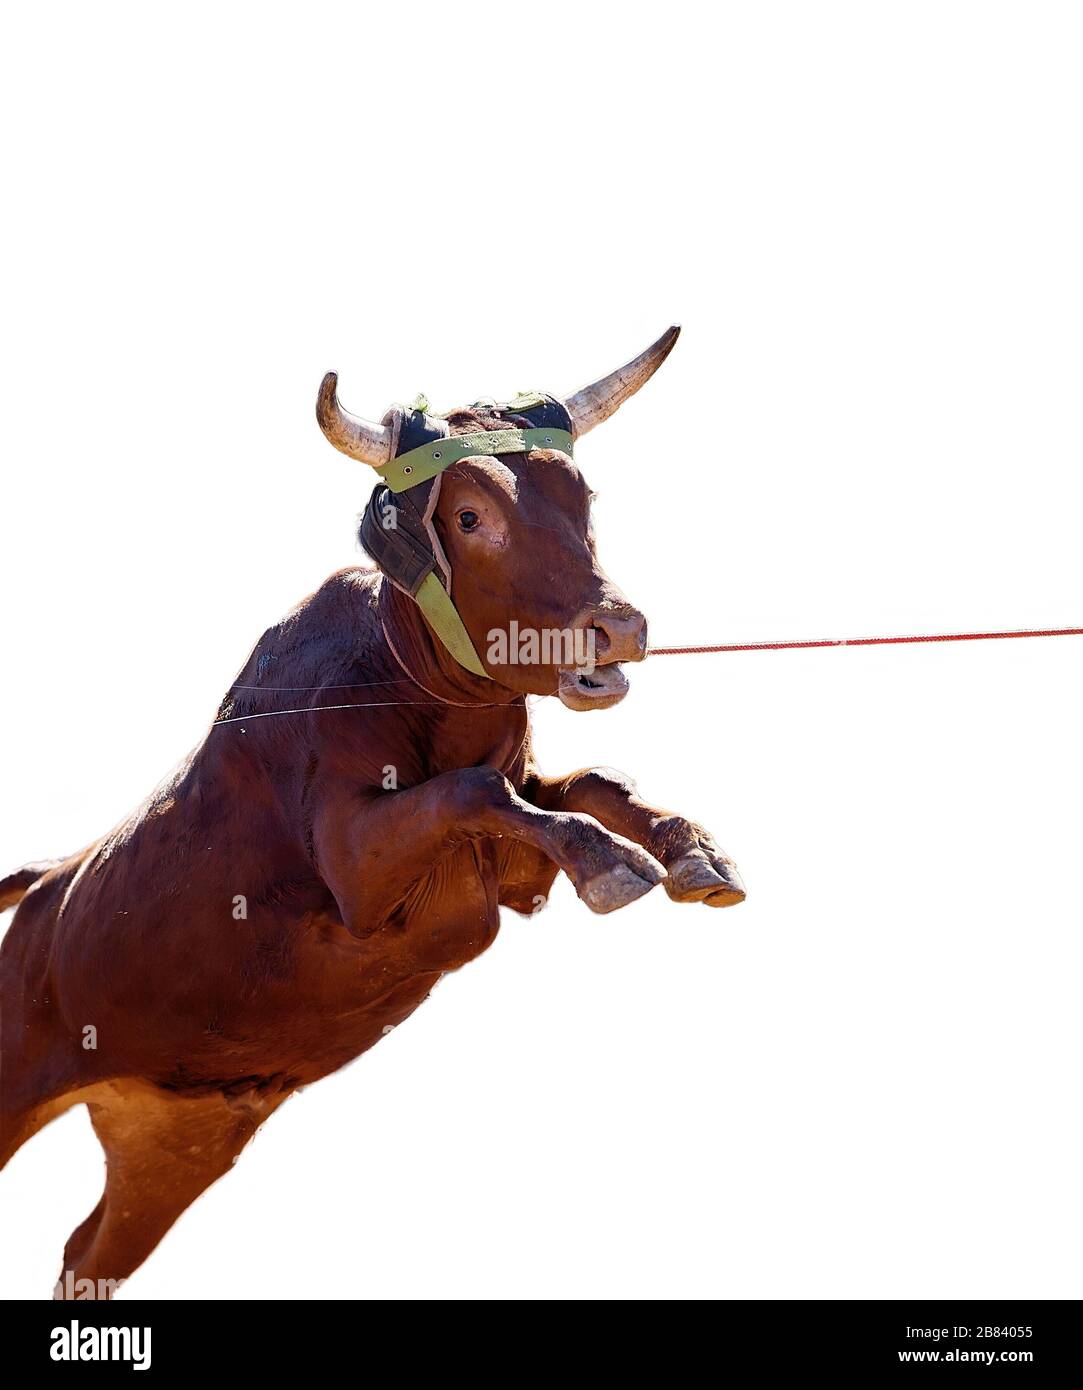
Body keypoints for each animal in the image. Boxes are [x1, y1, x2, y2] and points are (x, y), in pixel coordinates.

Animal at [0, 327, 745, 1298]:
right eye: (466, 517)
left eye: (580, 495)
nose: (615, 628)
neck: (397, 674)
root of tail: (45, 887)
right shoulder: (360, 881)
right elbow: (476, 793)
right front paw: (611, 863)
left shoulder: (509, 873)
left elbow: (585, 783)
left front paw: (689, 850)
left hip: (177, 1138)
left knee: (87, 1254)